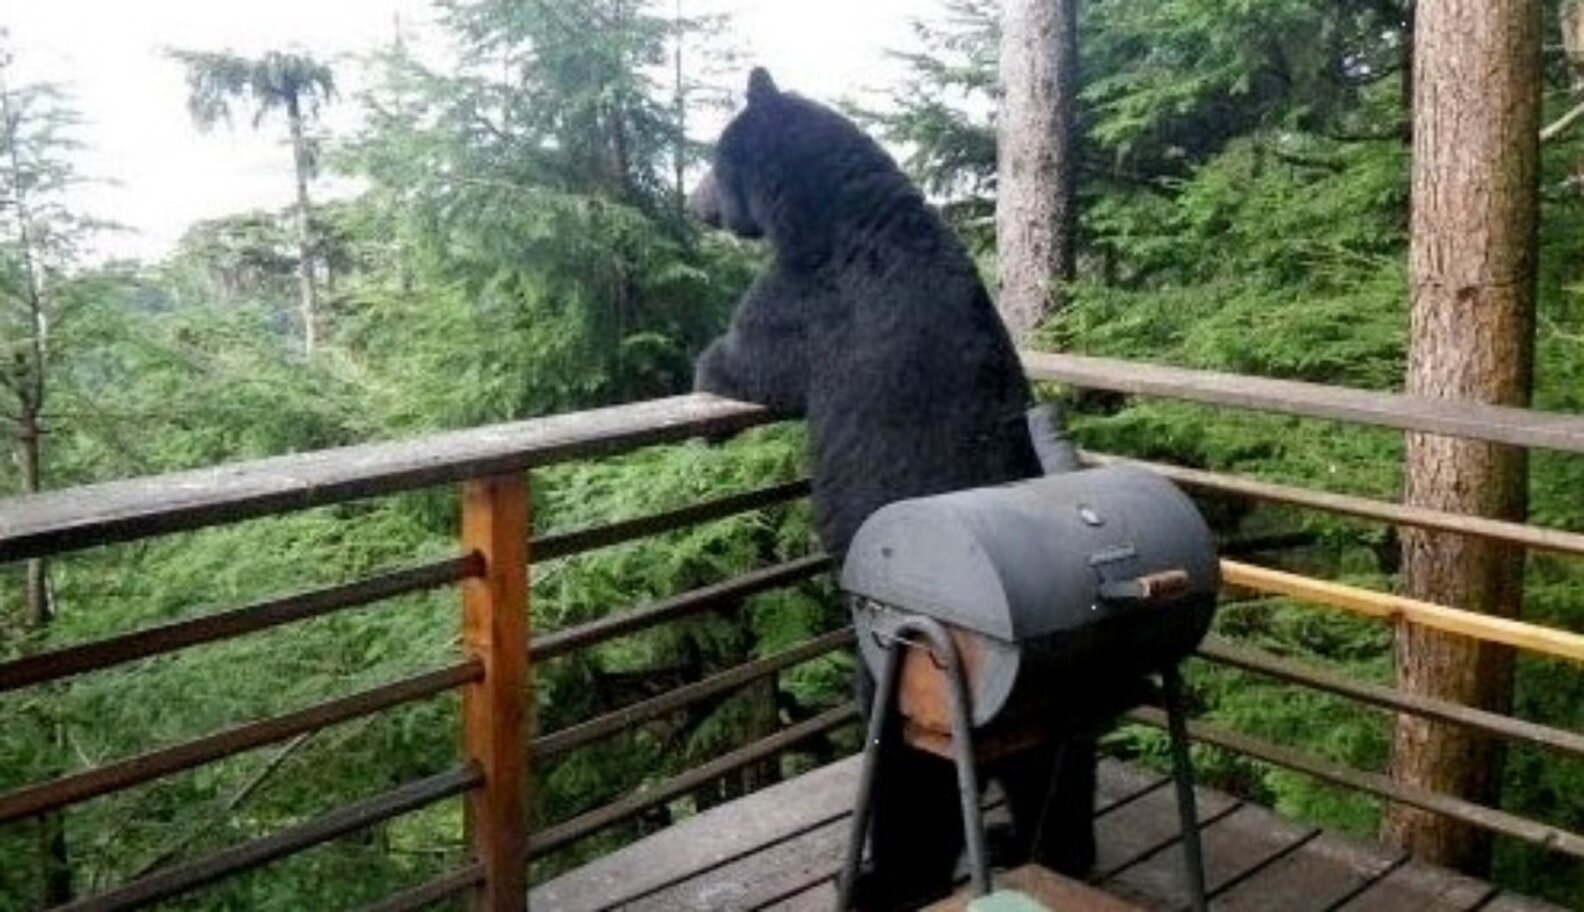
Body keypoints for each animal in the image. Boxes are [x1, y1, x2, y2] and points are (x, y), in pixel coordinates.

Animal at [689, 68, 1093, 909]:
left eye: (711, 155)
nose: (694, 201)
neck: (833, 208)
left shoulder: (805, 302)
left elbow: (735, 358)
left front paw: (706, 377)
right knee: (1054, 767)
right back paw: (1045, 847)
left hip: (905, 660)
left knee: (911, 778)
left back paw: (891, 875)